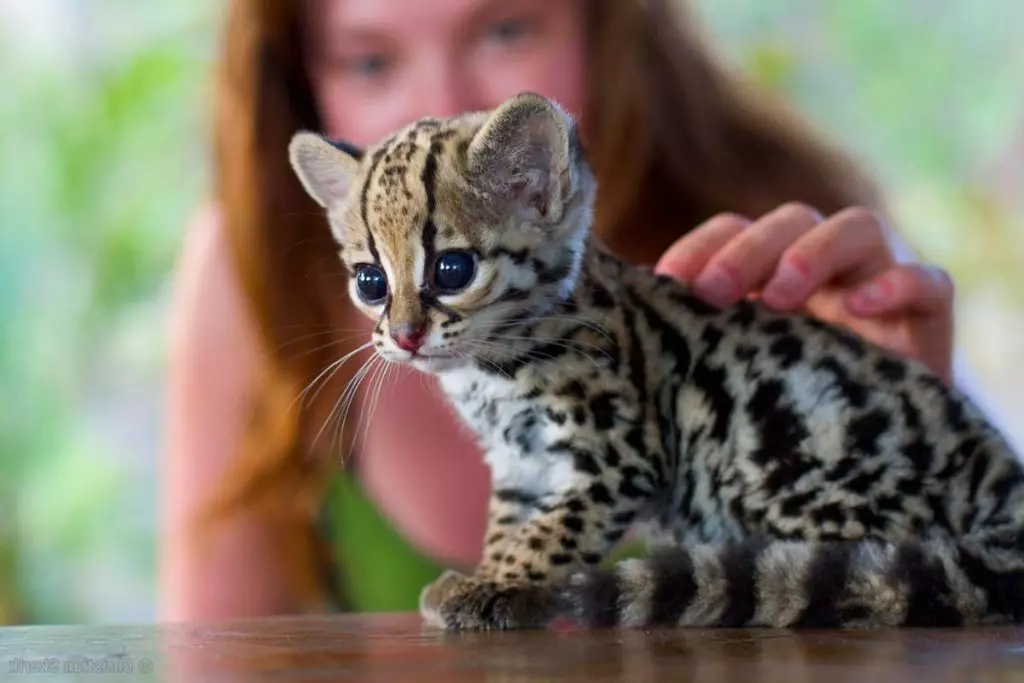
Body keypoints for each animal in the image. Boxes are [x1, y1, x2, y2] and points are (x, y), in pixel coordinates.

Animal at [286, 93, 1024, 634]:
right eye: (370, 282)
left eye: (451, 269)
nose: (404, 336)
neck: (488, 373)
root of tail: (1003, 482)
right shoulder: (519, 463)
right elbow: (510, 521)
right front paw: (491, 572)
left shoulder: (617, 454)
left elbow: (553, 529)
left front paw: (506, 582)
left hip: (774, 461)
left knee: (874, 564)